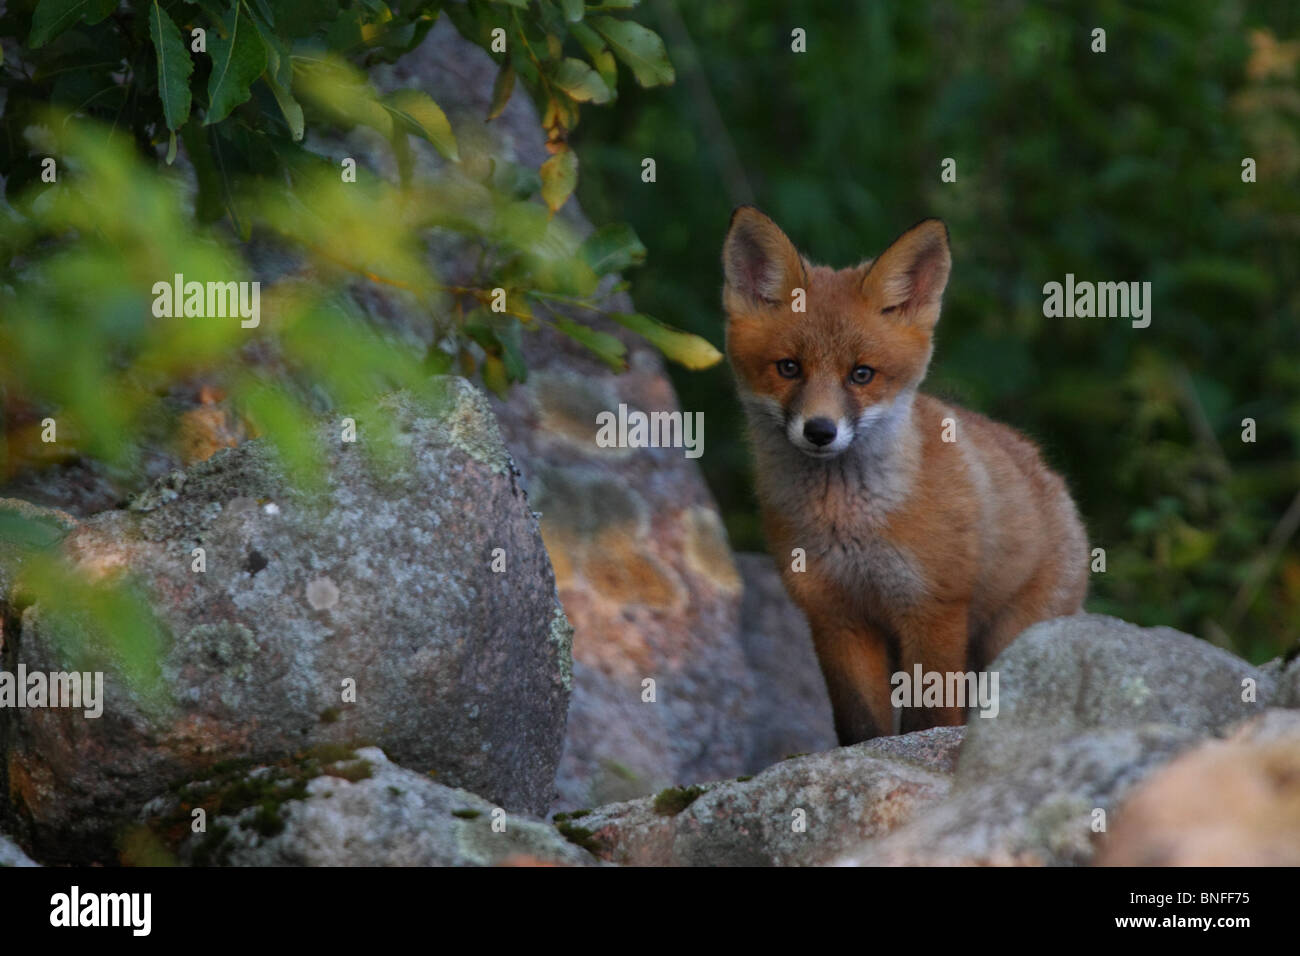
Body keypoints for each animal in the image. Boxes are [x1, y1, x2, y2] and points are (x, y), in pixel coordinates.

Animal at [722, 206, 1088, 744]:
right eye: (788, 368)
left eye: (862, 374)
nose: (820, 431)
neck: (847, 523)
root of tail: (1048, 473)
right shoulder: (835, 616)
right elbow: (863, 726)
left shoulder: (932, 608)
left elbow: (929, 719)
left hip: (1010, 639)